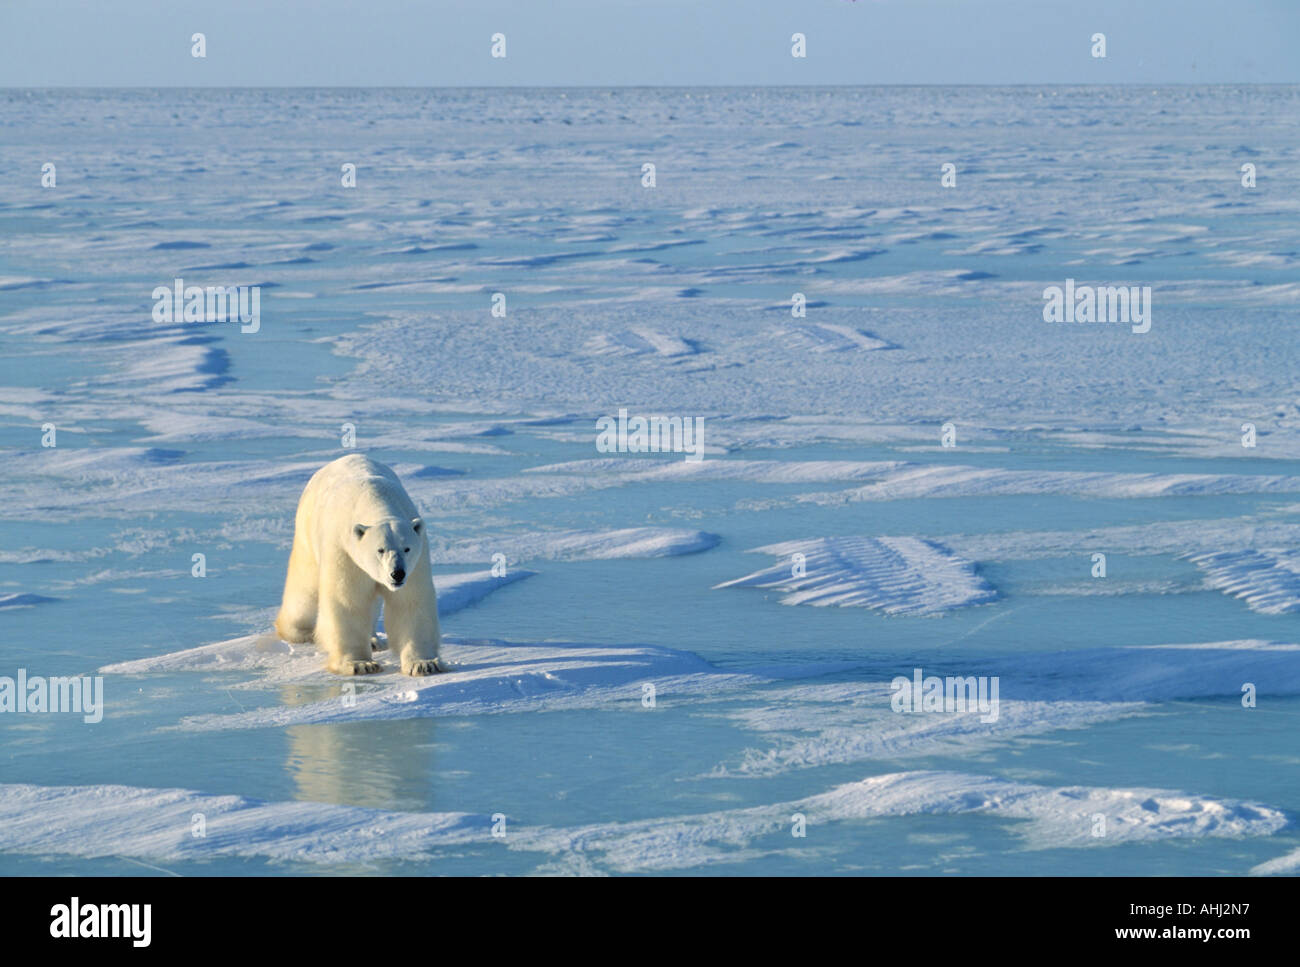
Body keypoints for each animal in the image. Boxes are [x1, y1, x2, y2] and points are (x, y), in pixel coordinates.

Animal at [275, 454, 445, 676]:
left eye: (406, 548)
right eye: (380, 550)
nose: (397, 574)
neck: (375, 499)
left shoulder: (417, 559)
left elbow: (410, 601)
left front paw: (424, 663)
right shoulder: (344, 551)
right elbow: (348, 601)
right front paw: (360, 664)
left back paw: (373, 640)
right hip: (307, 529)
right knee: (306, 588)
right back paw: (299, 632)